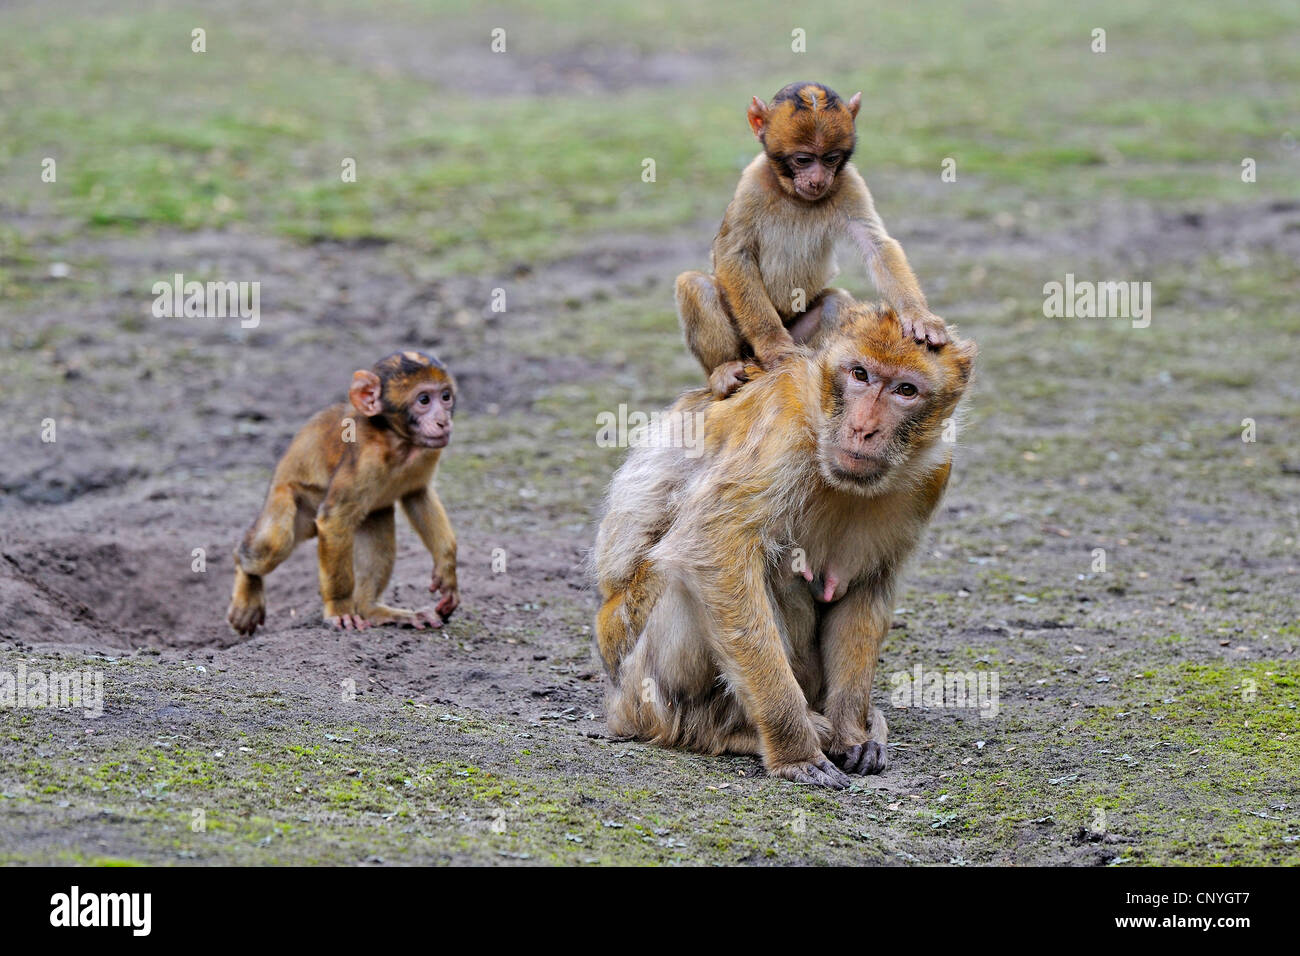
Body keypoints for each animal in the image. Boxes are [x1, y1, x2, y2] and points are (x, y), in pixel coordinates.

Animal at [227, 350, 460, 637]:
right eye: (424, 400)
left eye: (446, 396)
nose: (443, 421)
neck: (397, 441)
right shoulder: (363, 458)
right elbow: (334, 519)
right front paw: (339, 609)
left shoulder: (427, 452)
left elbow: (418, 495)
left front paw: (447, 570)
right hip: (288, 499)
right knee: (274, 543)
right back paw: (246, 578)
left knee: (378, 519)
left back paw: (373, 609)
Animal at [593, 301, 975, 787]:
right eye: (860, 374)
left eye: (906, 390)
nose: (863, 428)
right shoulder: (783, 433)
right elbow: (714, 548)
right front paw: (795, 748)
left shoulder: (934, 475)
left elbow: (865, 586)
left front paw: (853, 734)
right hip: (639, 684)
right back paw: (728, 731)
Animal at [676, 81, 949, 399]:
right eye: (803, 159)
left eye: (830, 158)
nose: (818, 181)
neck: (793, 194)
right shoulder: (752, 183)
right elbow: (734, 253)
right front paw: (773, 345)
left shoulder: (849, 183)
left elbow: (877, 245)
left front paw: (918, 315)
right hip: (747, 347)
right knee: (696, 284)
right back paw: (724, 370)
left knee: (835, 301)